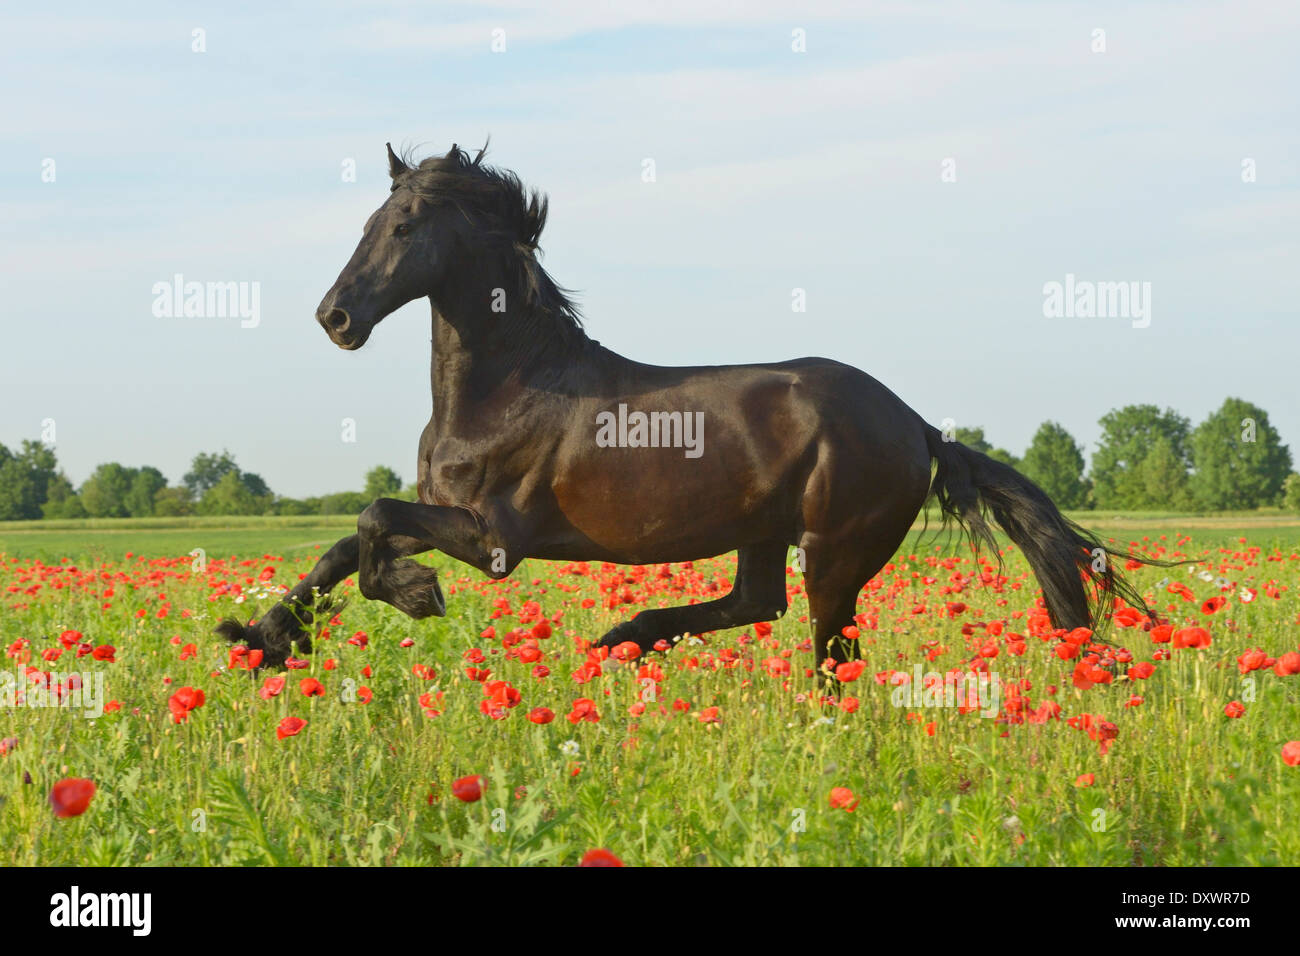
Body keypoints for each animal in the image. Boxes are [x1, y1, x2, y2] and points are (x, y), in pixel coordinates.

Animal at [217, 141, 1154, 678]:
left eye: (407, 225)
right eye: (372, 219)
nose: (336, 317)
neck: (508, 386)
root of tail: (917, 425)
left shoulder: (493, 540)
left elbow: (373, 521)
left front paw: (414, 596)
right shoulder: (445, 511)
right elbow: (344, 543)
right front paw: (261, 638)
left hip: (836, 555)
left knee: (830, 657)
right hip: (767, 535)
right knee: (757, 605)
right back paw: (625, 637)